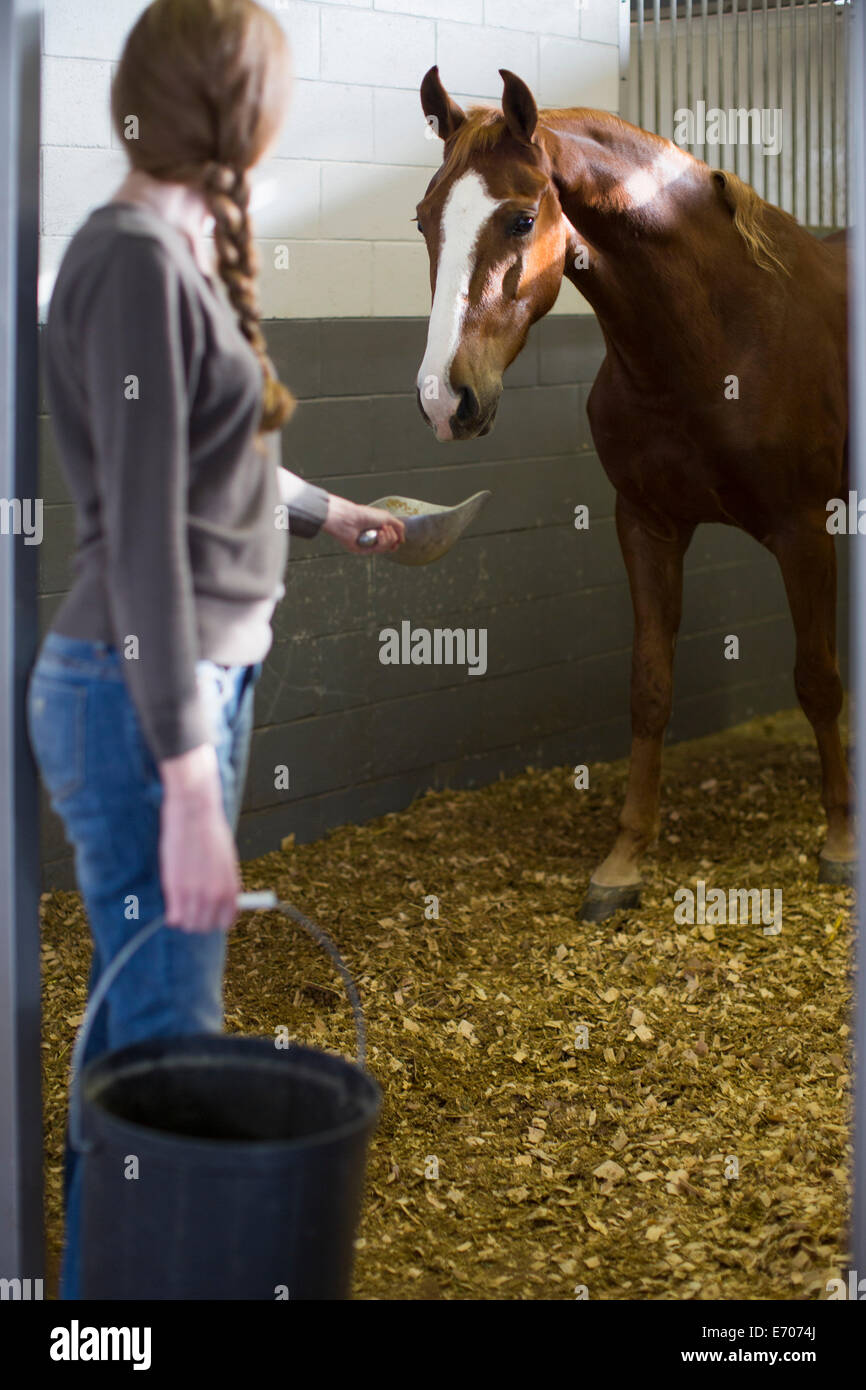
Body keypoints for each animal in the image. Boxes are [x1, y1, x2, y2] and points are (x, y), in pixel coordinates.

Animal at [414, 65, 851, 923]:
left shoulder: (805, 530)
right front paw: (624, 860)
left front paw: (842, 842)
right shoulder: (646, 525)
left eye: (521, 217)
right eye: (423, 221)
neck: (724, 338)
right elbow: (650, 688)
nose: (445, 400)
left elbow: (817, 679)